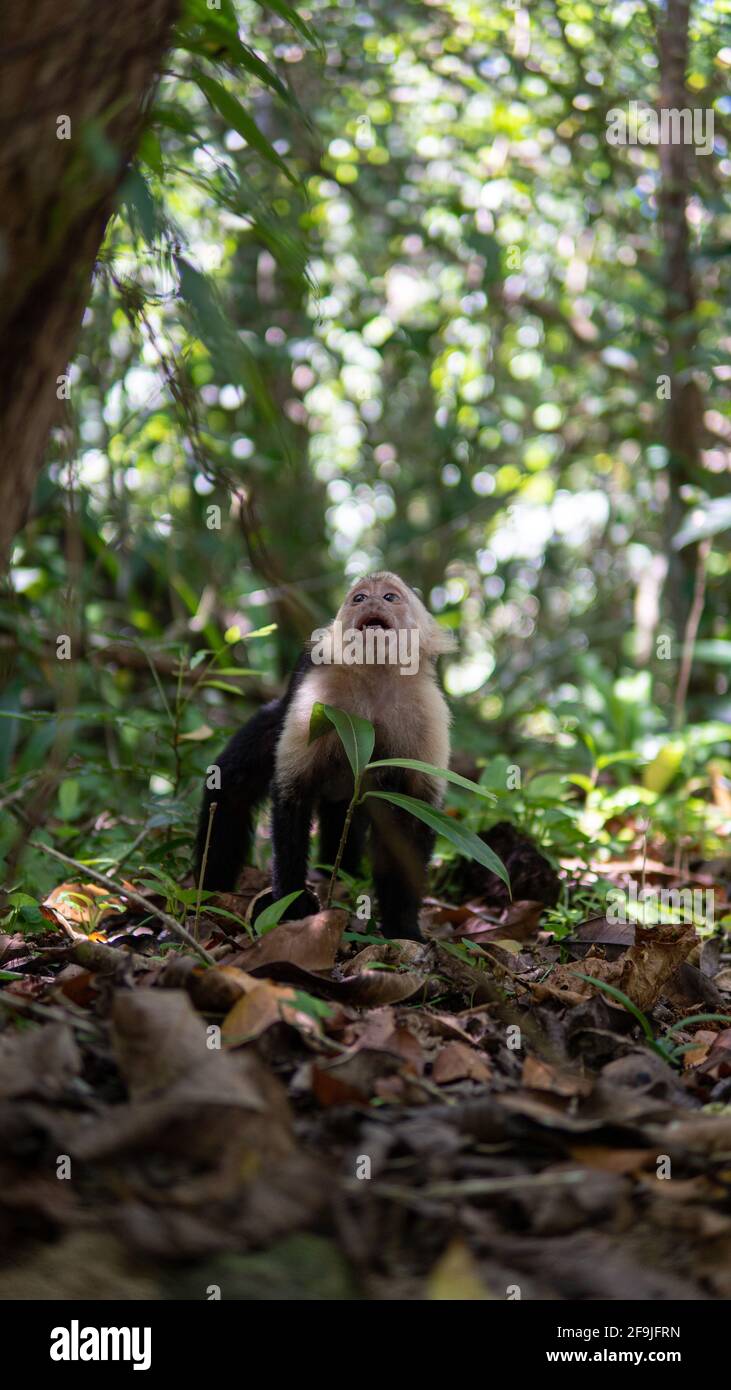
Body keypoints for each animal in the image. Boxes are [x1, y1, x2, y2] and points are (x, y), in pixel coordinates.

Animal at [194, 572, 456, 940]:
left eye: (390, 597)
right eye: (359, 598)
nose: (372, 600)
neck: (375, 678)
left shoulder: (428, 712)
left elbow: (415, 814)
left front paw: (403, 925)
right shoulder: (317, 696)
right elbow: (293, 792)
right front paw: (290, 903)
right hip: (278, 718)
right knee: (232, 787)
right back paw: (211, 890)